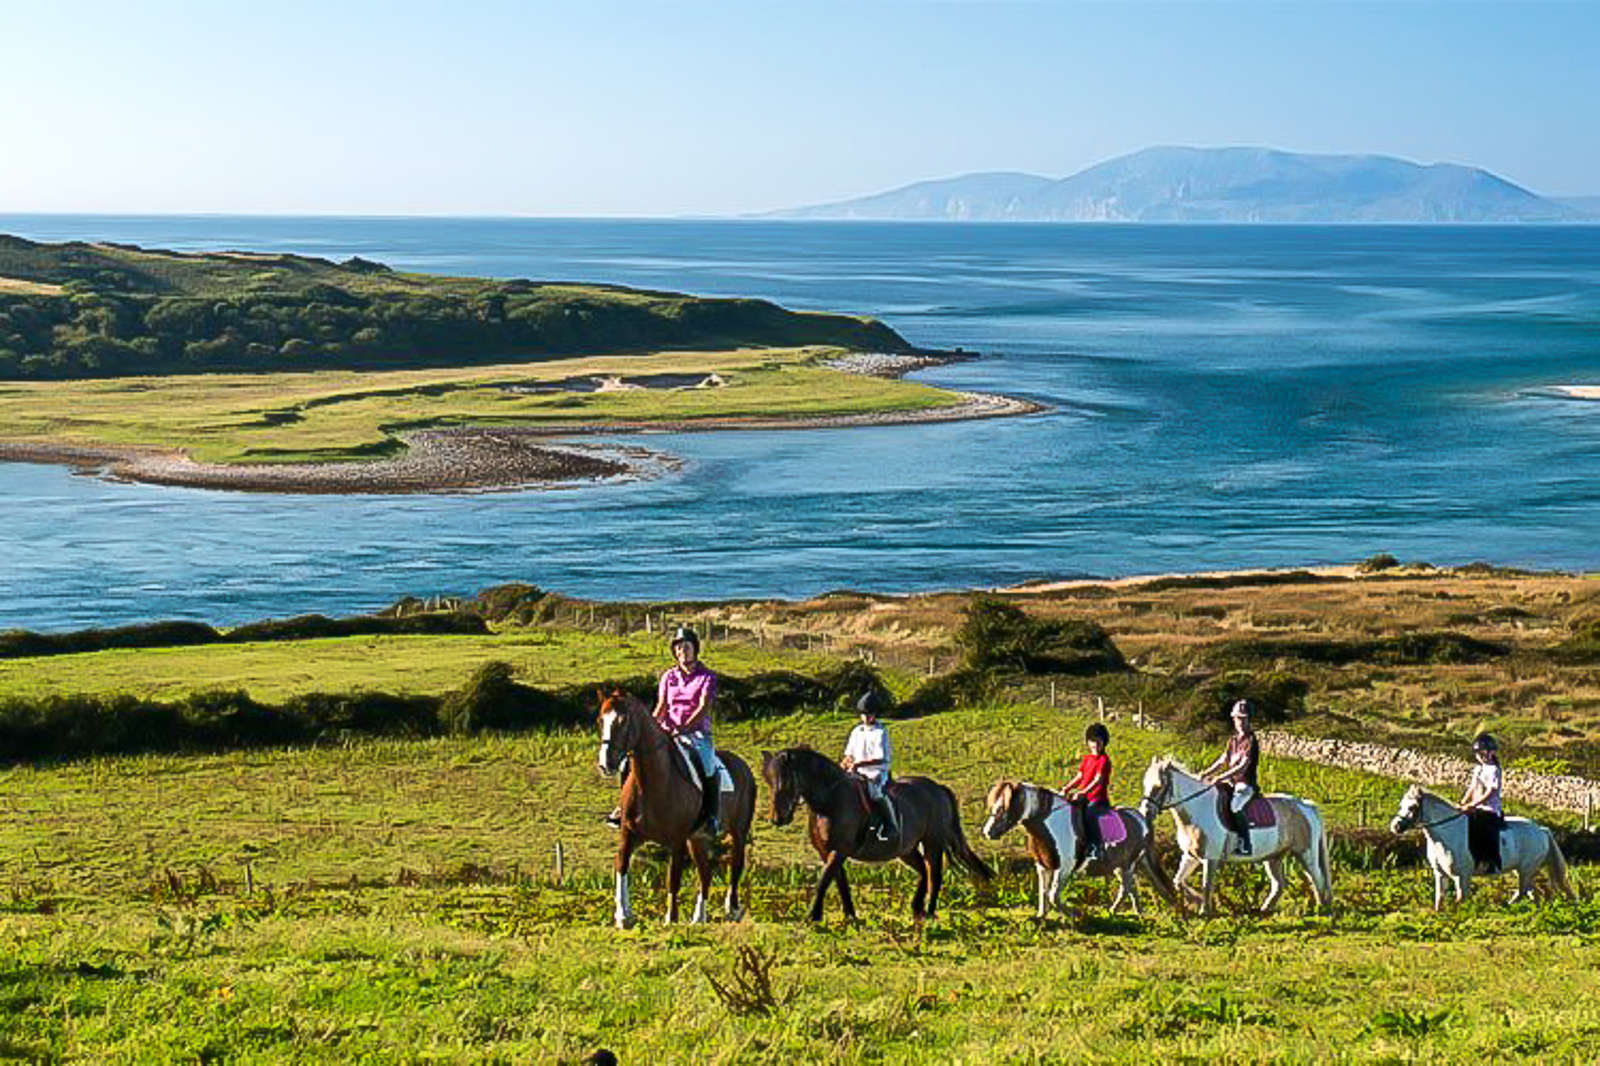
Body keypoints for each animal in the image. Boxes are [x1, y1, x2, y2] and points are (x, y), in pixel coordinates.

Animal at [595, 690, 757, 930]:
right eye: (601, 720)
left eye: (623, 721)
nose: (606, 764)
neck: (652, 783)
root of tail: (743, 766)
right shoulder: (628, 834)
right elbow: (621, 866)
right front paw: (623, 916)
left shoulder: (677, 841)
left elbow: (673, 878)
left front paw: (670, 919)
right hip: (697, 840)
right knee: (706, 872)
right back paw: (699, 917)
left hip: (738, 833)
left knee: (736, 866)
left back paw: (732, 909)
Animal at [761, 747, 994, 922]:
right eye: (769, 781)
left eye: (785, 780)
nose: (777, 818)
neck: (829, 801)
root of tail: (938, 788)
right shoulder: (827, 852)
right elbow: (839, 882)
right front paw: (850, 915)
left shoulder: (839, 851)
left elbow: (824, 881)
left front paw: (812, 916)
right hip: (906, 850)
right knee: (923, 872)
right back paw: (917, 908)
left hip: (932, 843)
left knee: (934, 875)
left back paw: (928, 912)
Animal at [981, 780, 1179, 918]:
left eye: (1003, 807)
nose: (987, 832)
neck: (1047, 824)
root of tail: (1141, 819)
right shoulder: (1042, 867)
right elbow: (1043, 894)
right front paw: (1041, 917)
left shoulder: (1063, 868)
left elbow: (1053, 896)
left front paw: (1076, 914)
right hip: (1119, 865)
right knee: (1131, 887)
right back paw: (1137, 912)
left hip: (1129, 864)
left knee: (1126, 888)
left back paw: (1112, 911)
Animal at [1140, 756, 1333, 916]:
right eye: (1145, 784)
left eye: (1158, 786)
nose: (1145, 813)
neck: (1197, 809)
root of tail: (1306, 805)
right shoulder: (1191, 856)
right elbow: (1178, 881)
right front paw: (1196, 901)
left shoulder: (1210, 858)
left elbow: (1207, 885)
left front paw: (1204, 911)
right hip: (1273, 858)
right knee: (1279, 885)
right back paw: (1264, 909)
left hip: (1305, 854)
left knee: (1317, 877)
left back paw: (1321, 908)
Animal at [1388, 784, 1575, 909]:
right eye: (1400, 805)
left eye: (1412, 807)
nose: (1395, 826)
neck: (1446, 834)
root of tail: (1541, 830)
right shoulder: (1440, 874)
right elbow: (1439, 900)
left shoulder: (1461, 876)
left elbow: (1460, 900)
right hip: (1522, 870)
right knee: (1532, 892)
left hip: (1526, 869)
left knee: (1523, 891)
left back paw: (1504, 907)